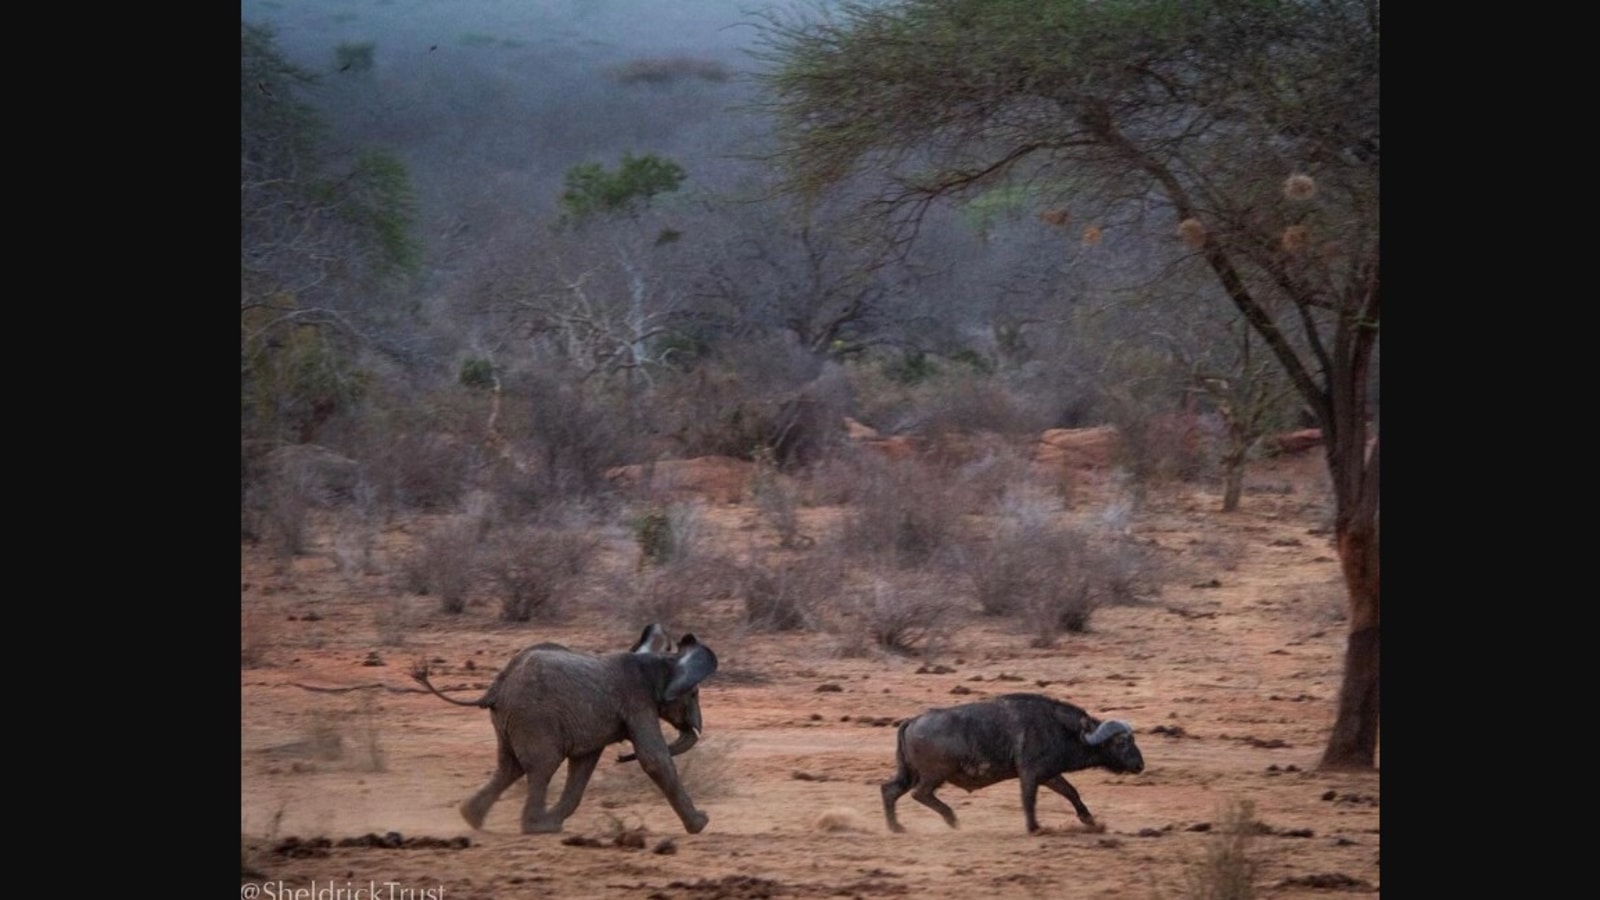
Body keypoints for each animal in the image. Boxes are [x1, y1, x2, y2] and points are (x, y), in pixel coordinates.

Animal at [412, 624, 719, 834]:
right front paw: (701, 823)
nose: (620, 757)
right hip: (533, 718)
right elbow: (654, 759)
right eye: (694, 694)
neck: (659, 662)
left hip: (510, 720)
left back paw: (472, 818)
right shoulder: (637, 701)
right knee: (542, 766)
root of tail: (495, 688)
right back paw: (537, 828)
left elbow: (583, 764)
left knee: (509, 767)